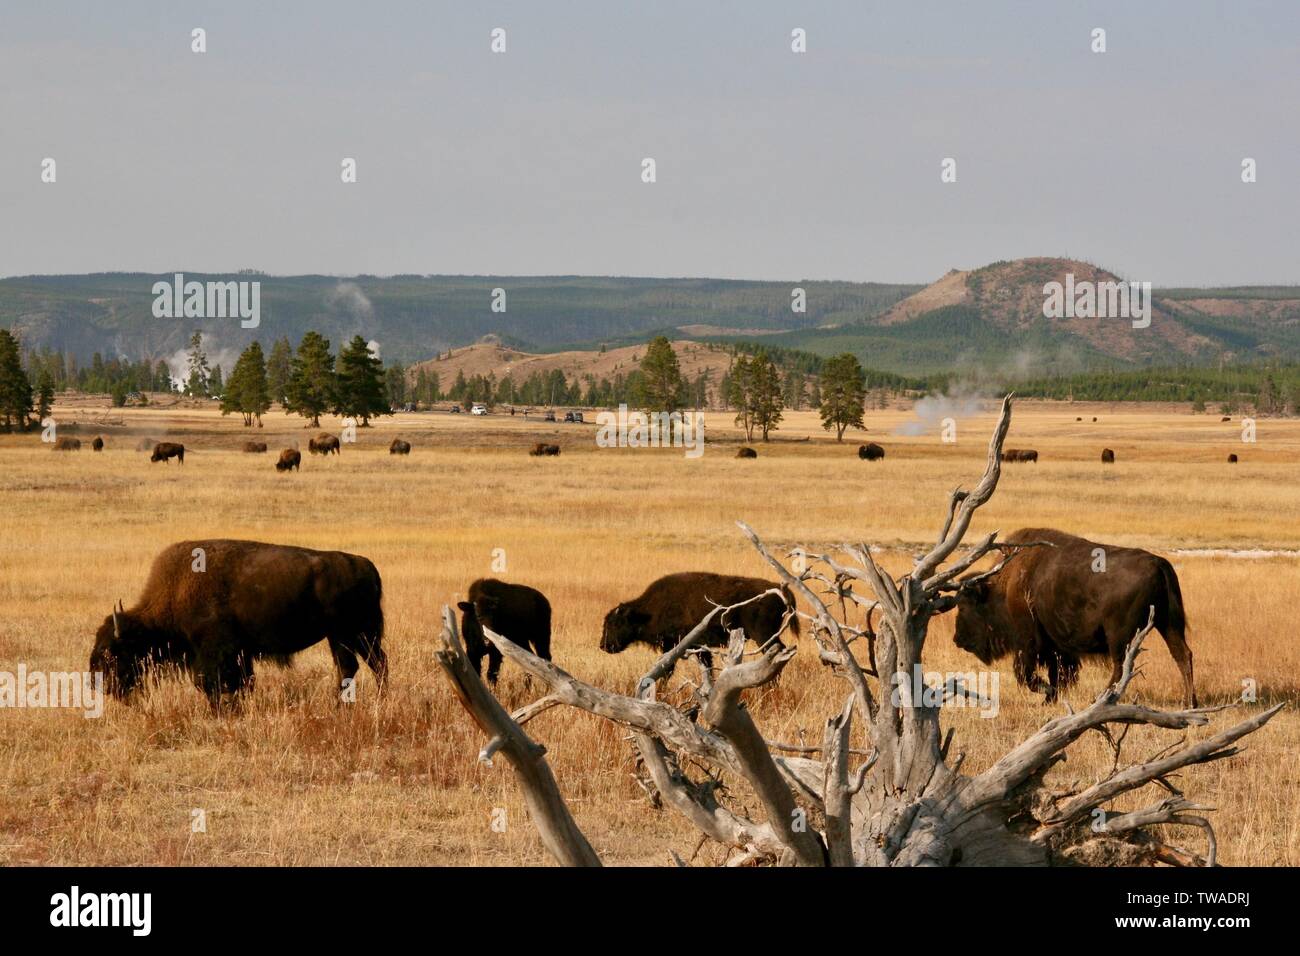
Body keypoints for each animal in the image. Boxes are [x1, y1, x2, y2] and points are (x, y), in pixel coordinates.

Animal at [89, 540, 386, 707]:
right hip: (348, 636)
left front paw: (224, 710)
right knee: (364, 664)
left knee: (363, 665)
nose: (97, 683)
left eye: (110, 651)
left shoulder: (216, 653)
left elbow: (213, 683)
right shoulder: (240, 654)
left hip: (351, 633)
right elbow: (241, 682)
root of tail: (366, 565)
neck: (178, 591)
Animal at [953, 528, 1195, 706]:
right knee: (1182, 655)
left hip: (1120, 634)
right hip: (1168, 623)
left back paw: (1100, 698)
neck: (1004, 585)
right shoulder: (1056, 647)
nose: (957, 639)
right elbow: (1058, 672)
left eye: (963, 607)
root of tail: (1158, 563)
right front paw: (1050, 699)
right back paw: (1190, 702)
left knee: (1122, 666)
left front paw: (1047, 693)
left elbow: (1027, 675)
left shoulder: (1028, 643)